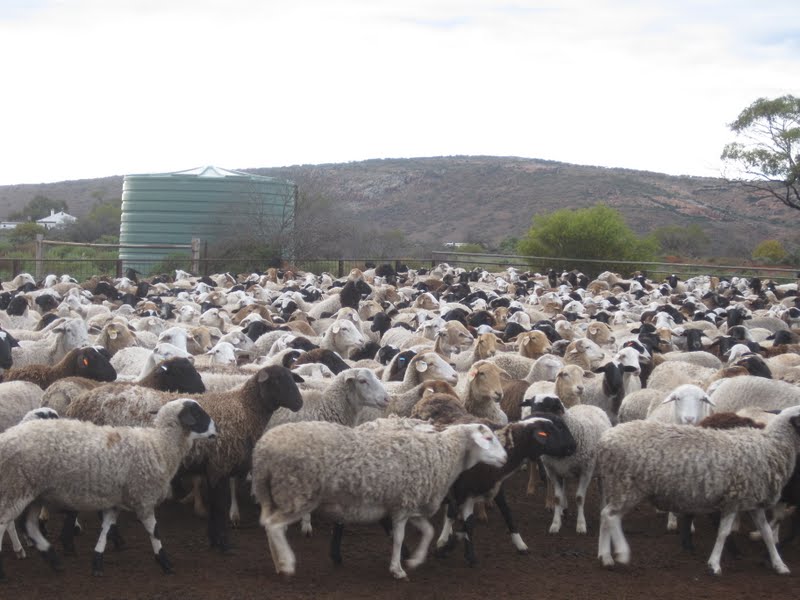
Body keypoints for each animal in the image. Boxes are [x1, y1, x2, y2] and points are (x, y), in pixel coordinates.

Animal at [0, 398, 217, 579]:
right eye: (198, 414)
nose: (216, 430)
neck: (159, 445)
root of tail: (6, 438)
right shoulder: (143, 497)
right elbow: (154, 531)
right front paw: (165, 562)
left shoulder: (116, 502)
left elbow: (106, 528)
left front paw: (97, 562)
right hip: (15, 488)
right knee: (5, 523)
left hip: (34, 492)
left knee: (28, 525)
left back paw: (53, 559)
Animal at [250, 419, 507, 579]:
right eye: (488, 437)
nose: (505, 458)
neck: (445, 454)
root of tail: (262, 451)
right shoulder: (403, 507)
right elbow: (399, 538)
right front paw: (397, 569)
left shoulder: (409, 506)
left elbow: (428, 532)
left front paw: (415, 560)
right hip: (297, 493)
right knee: (273, 526)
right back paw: (287, 563)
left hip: (278, 495)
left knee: (271, 527)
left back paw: (278, 563)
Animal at [596, 405, 800, 575]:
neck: (773, 447)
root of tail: (605, 439)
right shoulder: (734, 500)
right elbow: (723, 533)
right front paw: (714, 564)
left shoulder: (753, 501)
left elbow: (767, 533)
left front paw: (779, 564)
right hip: (627, 486)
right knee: (610, 516)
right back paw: (621, 553)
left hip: (617, 485)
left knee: (606, 516)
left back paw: (605, 557)